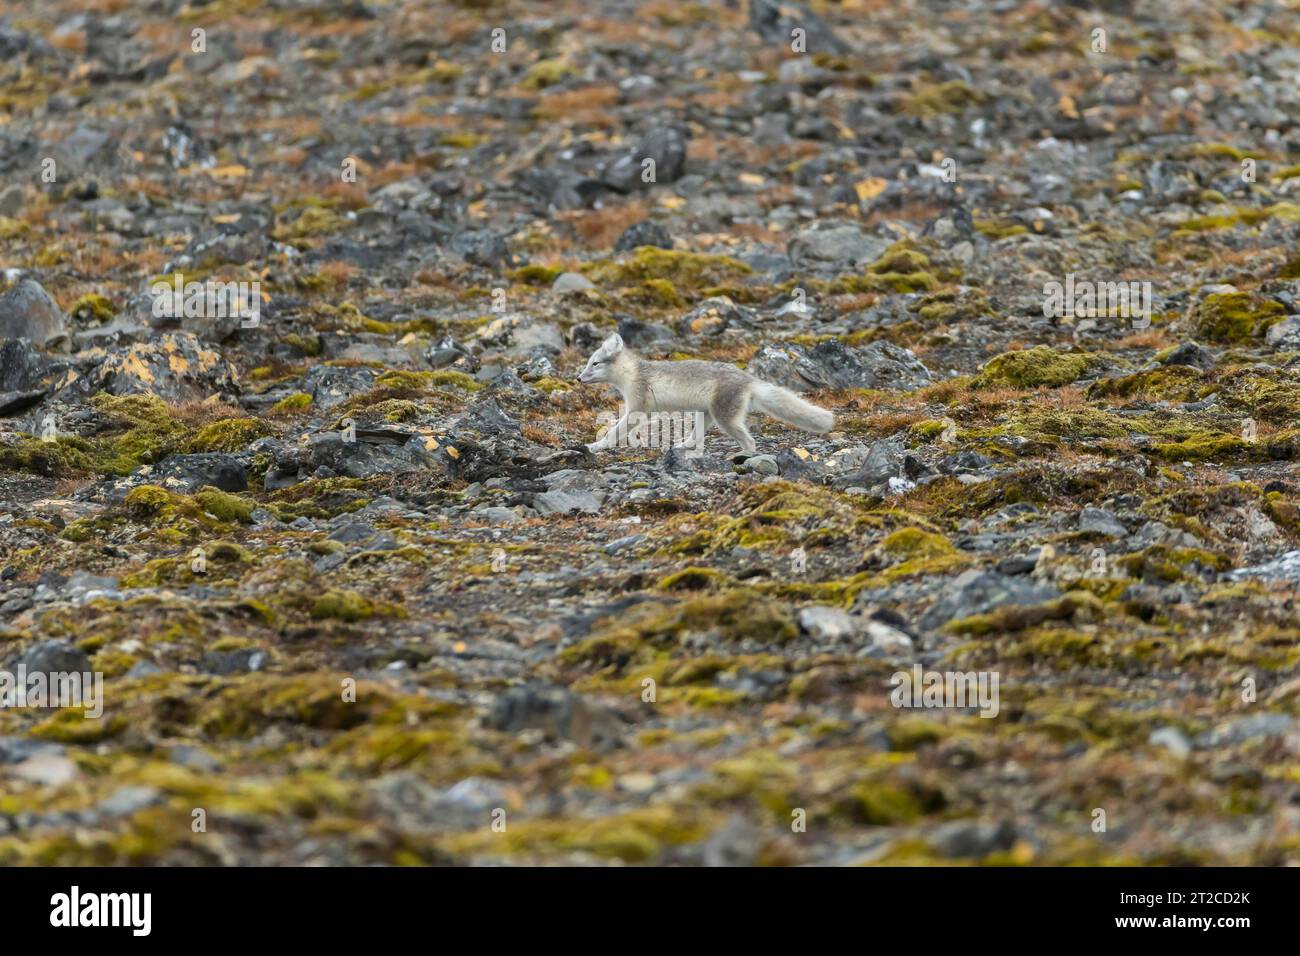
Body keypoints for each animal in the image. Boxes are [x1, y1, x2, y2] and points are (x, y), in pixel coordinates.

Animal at [577, 333, 835, 456]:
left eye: (595, 363)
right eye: (588, 362)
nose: (578, 378)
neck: (631, 374)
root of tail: (748, 379)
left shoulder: (637, 408)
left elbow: (614, 432)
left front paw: (595, 446)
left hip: (724, 418)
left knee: (750, 441)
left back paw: (742, 457)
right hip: (706, 414)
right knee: (695, 437)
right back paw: (680, 447)